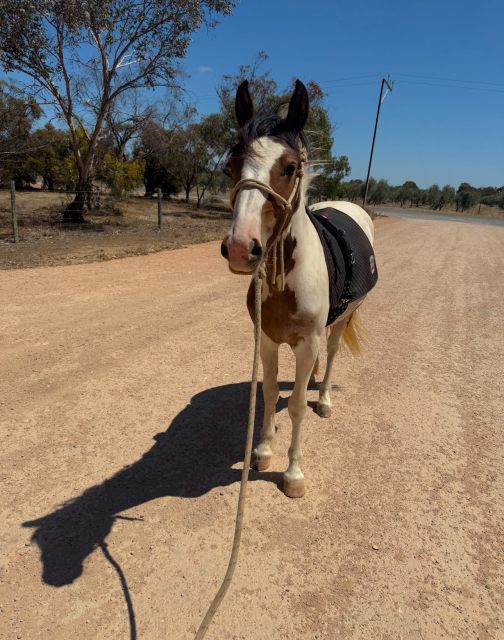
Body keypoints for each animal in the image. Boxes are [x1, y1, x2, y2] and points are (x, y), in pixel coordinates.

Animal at [220, 79, 377, 498]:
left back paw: (323, 398)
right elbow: (271, 393)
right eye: (230, 166)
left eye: (289, 167)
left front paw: (292, 472)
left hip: (344, 319)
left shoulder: (306, 343)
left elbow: (295, 408)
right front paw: (262, 450)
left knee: (332, 353)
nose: (241, 248)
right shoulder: (268, 340)